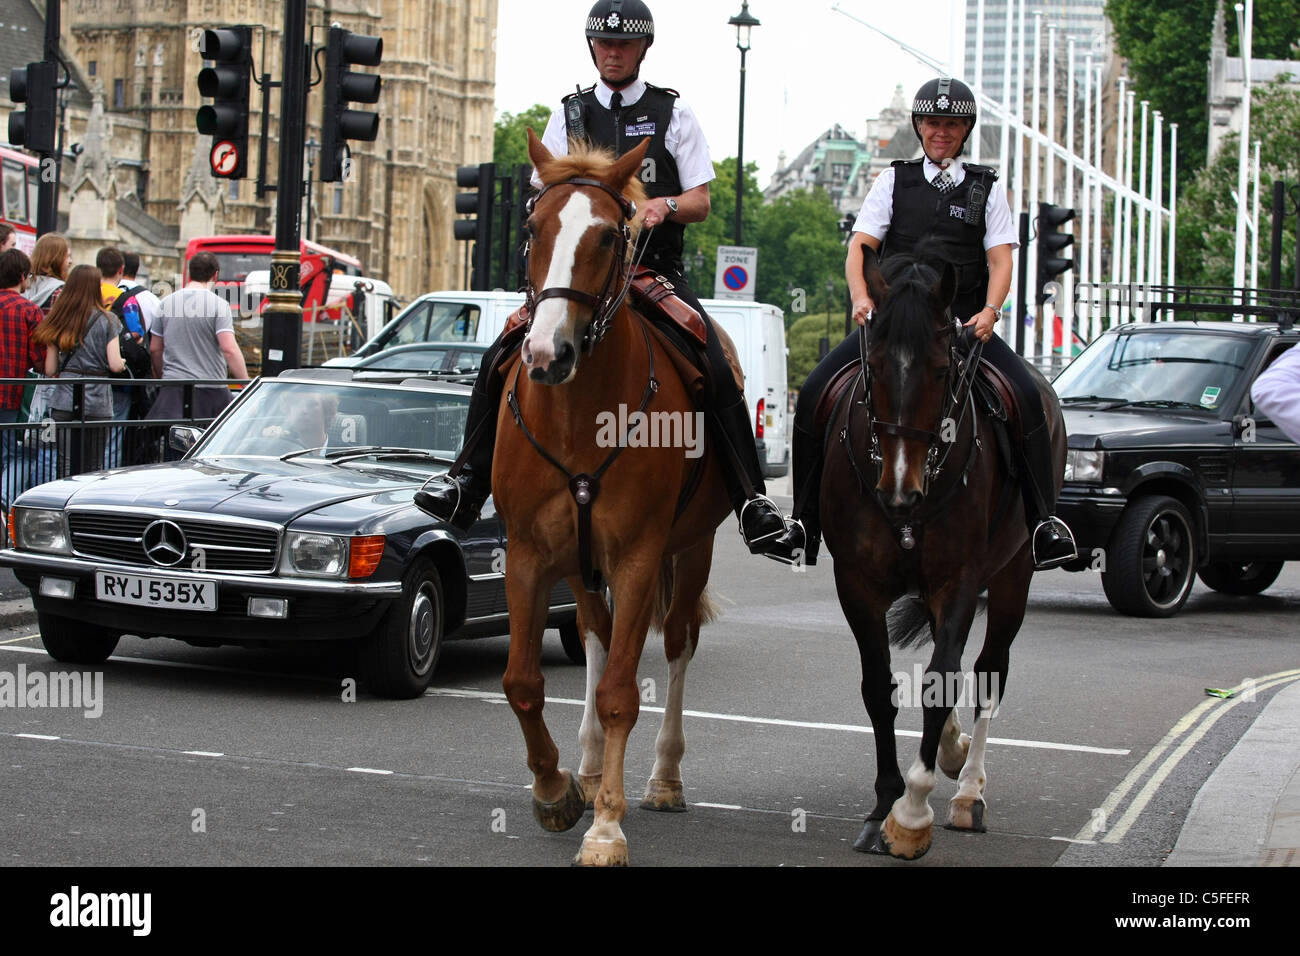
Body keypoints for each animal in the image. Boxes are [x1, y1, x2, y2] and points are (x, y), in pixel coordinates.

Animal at [490, 129, 733, 866]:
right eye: (532, 228)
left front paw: (605, 826)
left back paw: (661, 777)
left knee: (677, 641)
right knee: (596, 633)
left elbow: (623, 691)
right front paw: (555, 790)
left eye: (608, 235)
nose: (547, 353)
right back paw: (594, 764)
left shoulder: (637, 554)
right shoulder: (529, 551)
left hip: (692, 547)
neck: (577, 412)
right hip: (579, 556)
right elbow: (522, 681)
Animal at [820, 247, 1066, 860]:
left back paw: (967, 790)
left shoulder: (959, 580)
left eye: (939, 369)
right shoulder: (856, 583)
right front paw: (883, 805)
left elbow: (941, 684)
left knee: (988, 669)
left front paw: (911, 813)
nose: (899, 491)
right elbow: (879, 687)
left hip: (1014, 575)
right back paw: (951, 752)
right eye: (874, 365)